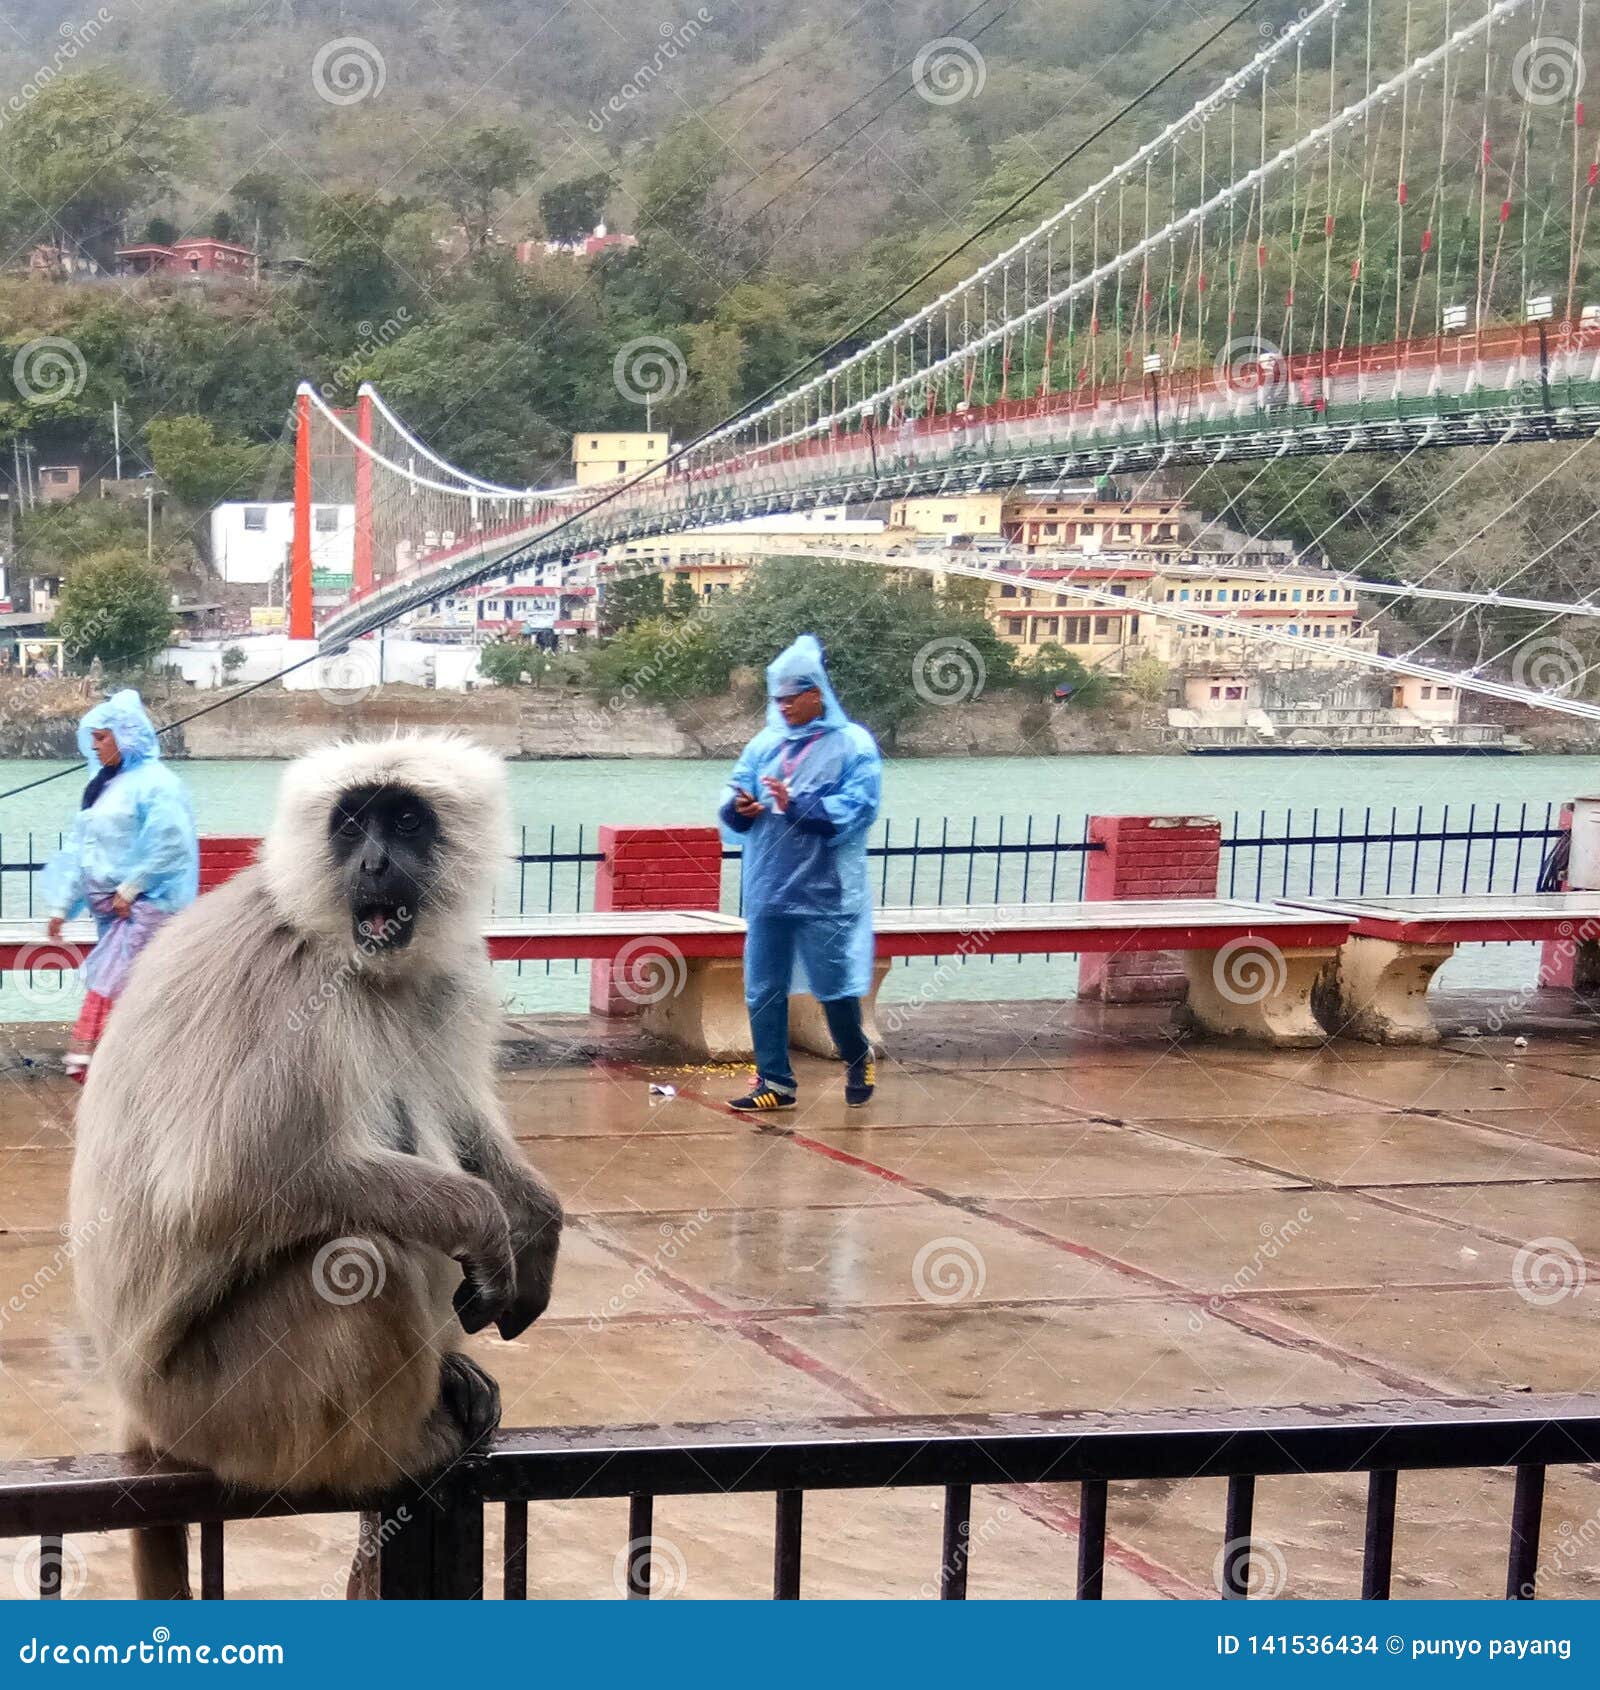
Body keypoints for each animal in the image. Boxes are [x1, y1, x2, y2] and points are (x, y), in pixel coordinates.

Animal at [67, 733, 563, 1599]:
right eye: (353, 824)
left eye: (405, 820)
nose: (374, 863)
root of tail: (139, 1408)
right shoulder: (287, 978)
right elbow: (223, 1186)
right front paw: (484, 1220)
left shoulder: (449, 975)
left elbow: (467, 1121)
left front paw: (536, 1224)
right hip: (223, 1411)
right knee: (364, 1256)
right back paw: (401, 1448)